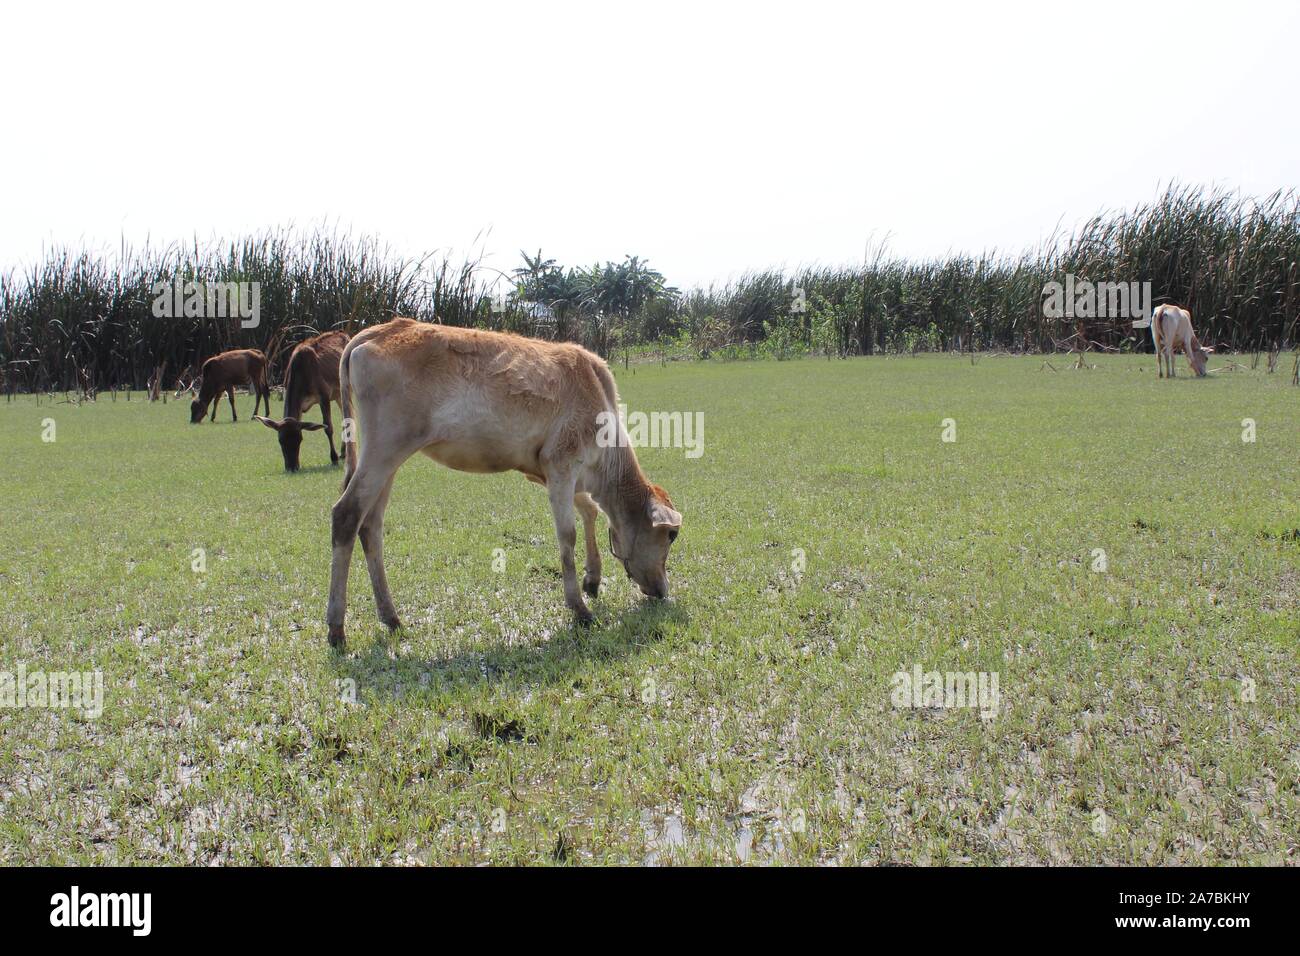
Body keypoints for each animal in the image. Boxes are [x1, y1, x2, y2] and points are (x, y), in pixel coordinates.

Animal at [254, 330, 349, 471]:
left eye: (300, 439)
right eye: (280, 440)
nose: (292, 467)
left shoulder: (324, 395)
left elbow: (328, 427)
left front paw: (334, 458)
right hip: (338, 395)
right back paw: (344, 452)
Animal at [324, 318, 682, 650]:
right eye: (671, 535)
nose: (663, 590)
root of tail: (378, 330)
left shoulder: (554, 473)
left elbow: (590, 512)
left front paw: (592, 580)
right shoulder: (561, 464)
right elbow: (567, 535)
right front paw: (579, 608)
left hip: (387, 459)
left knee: (370, 524)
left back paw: (391, 616)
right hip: (385, 447)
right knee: (346, 514)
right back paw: (337, 628)